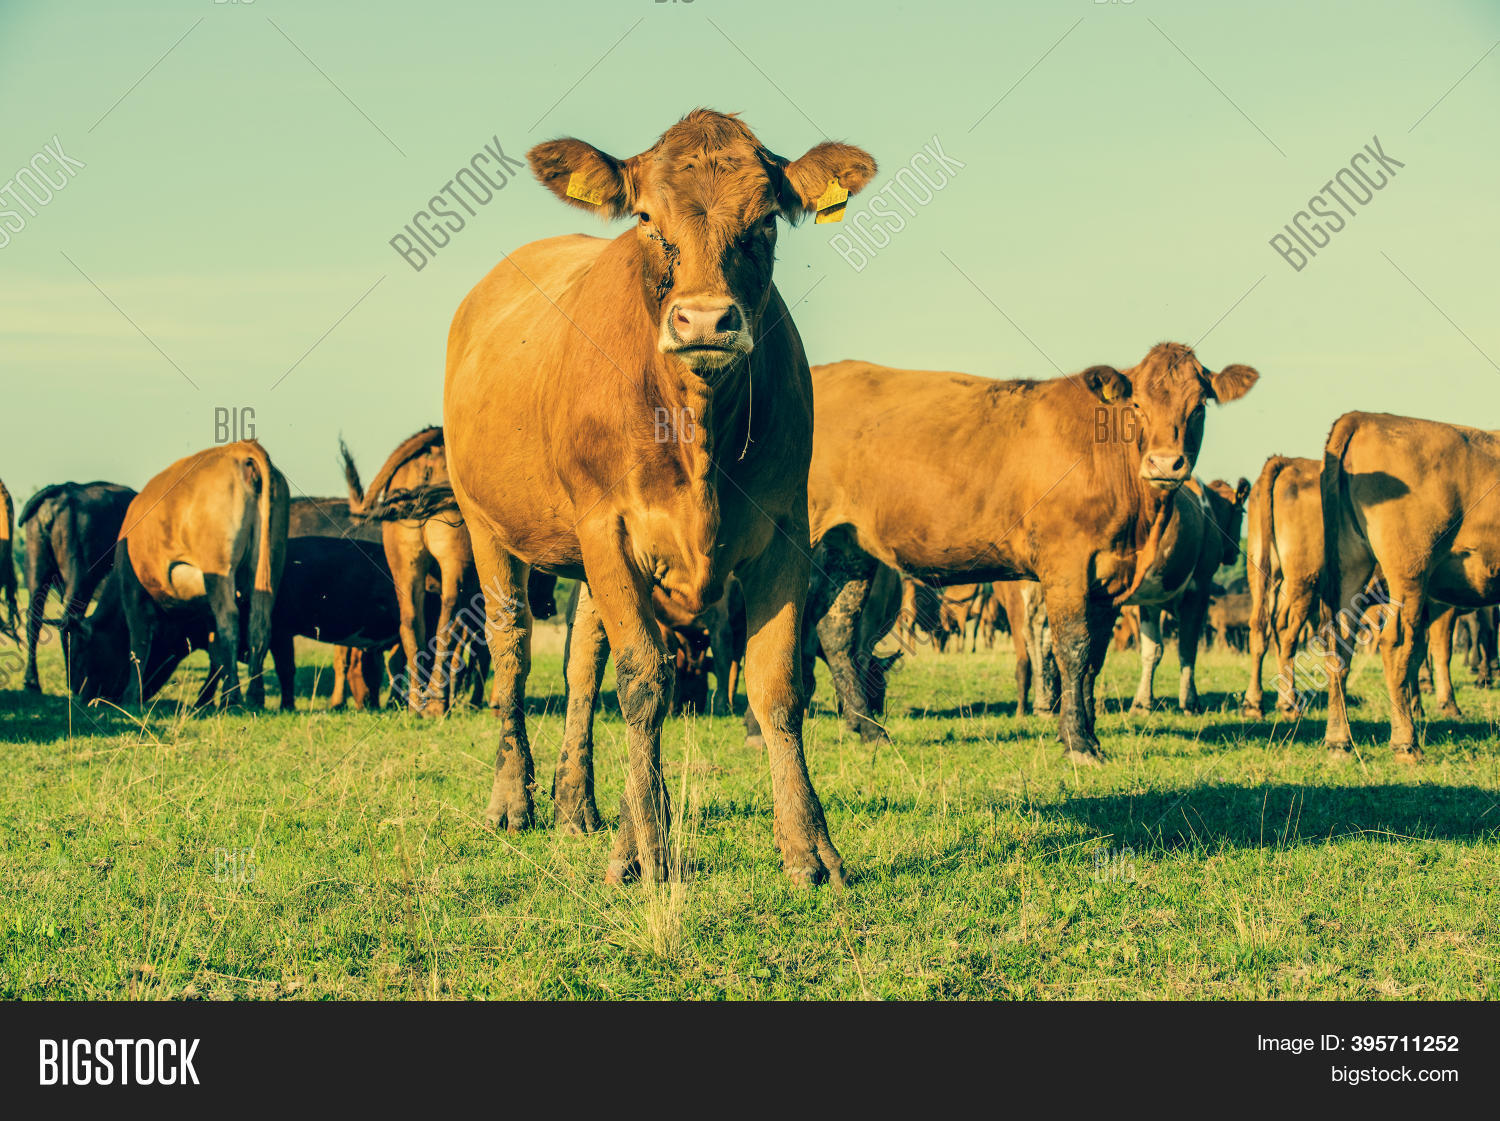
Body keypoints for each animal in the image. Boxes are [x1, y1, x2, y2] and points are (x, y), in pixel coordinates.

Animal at [69, 442, 288, 710]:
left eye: (79, 655)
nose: (79, 696)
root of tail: (241, 449)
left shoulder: (132, 589)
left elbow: (138, 643)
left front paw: (132, 696)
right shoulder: (203, 605)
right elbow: (215, 649)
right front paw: (205, 699)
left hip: (219, 572)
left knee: (230, 623)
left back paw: (232, 698)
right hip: (269, 566)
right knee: (260, 624)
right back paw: (254, 697)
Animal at [443, 109, 876, 885]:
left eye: (766, 220)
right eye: (647, 218)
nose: (703, 321)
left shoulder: (783, 533)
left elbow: (775, 687)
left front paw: (809, 847)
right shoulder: (608, 528)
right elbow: (644, 681)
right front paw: (646, 848)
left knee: (582, 665)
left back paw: (577, 804)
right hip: (487, 526)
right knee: (514, 650)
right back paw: (513, 800)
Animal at [1126, 477, 1251, 714]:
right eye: (1241, 511)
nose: (1234, 553)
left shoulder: (1150, 599)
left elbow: (1152, 650)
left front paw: (1142, 702)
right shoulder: (1199, 586)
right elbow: (1187, 647)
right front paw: (1190, 702)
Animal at [1320, 412, 1500, 761]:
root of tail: (1365, 418)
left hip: (1351, 565)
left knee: (1340, 642)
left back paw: (1339, 741)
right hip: (1409, 573)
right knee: (1398, 643)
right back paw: (1406, 743)